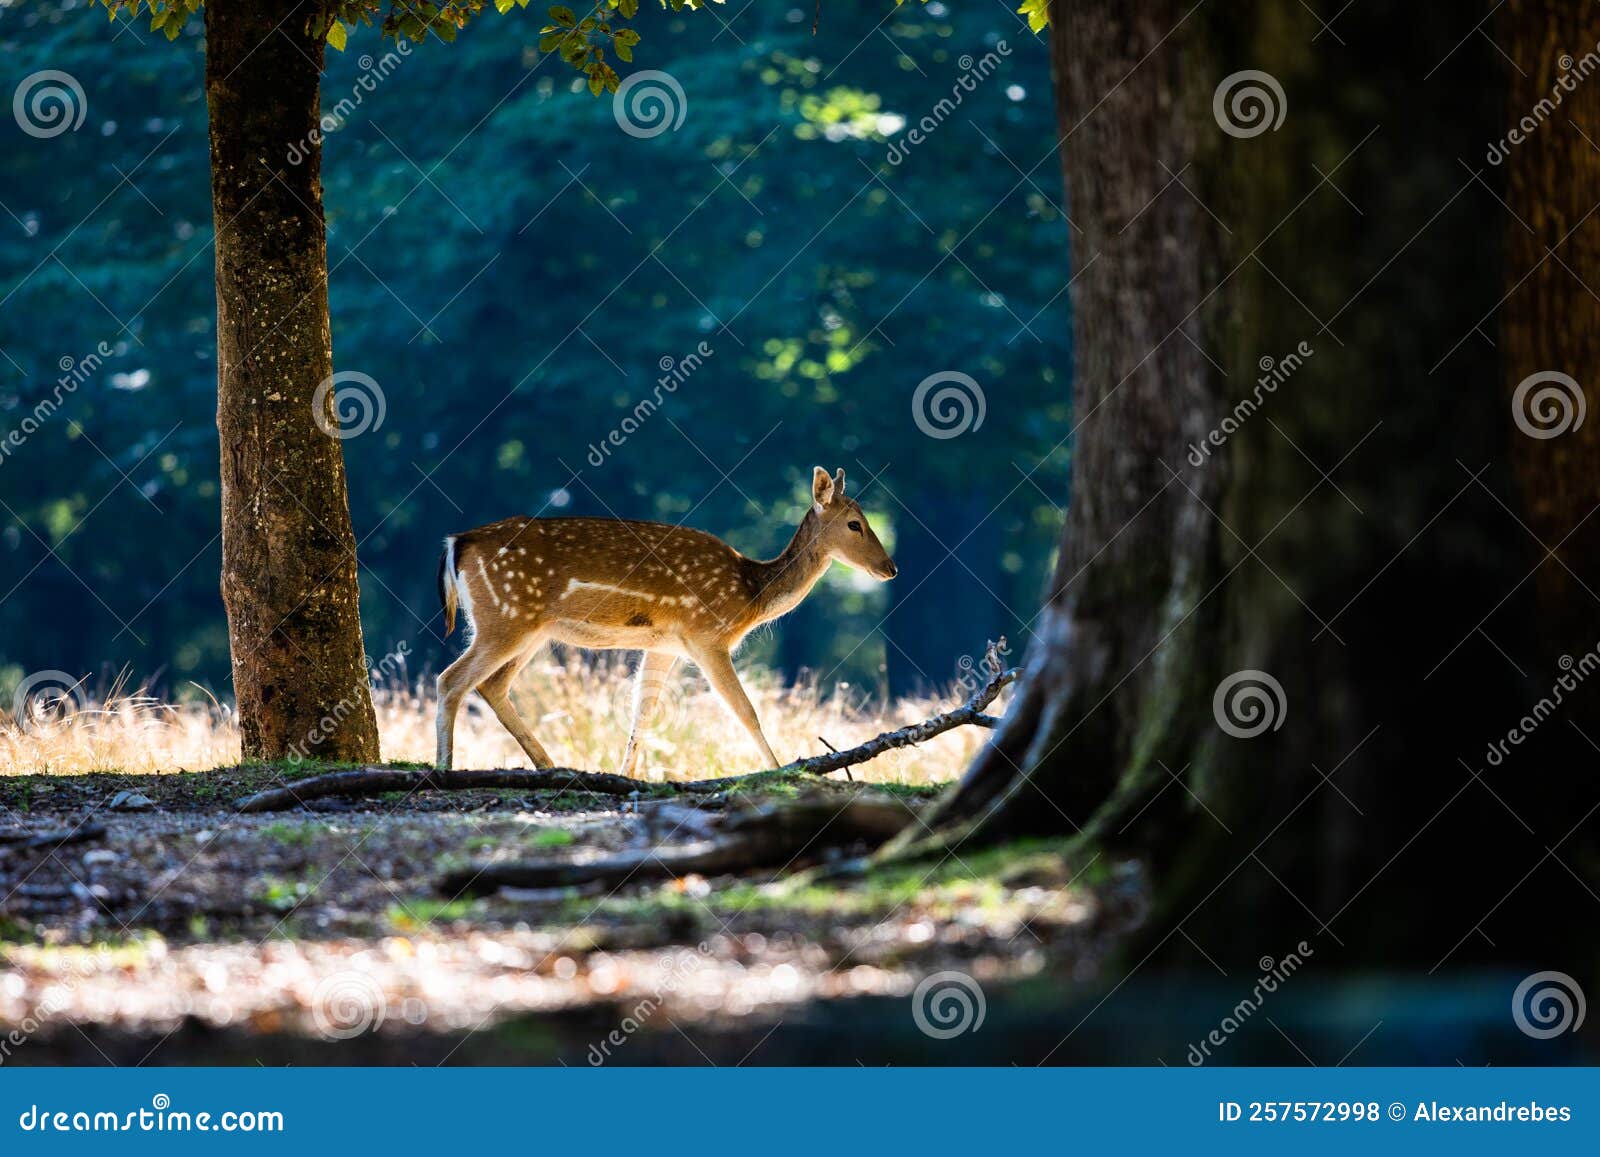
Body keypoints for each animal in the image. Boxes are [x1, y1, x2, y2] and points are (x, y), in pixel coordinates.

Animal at [434, 466, 897, 775]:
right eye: (855, 524)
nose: (890, 568)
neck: (750, 593)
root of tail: (456, 542)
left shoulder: (663, 644)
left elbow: (642, 714)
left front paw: (625, 776)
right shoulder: (707, 636)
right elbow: (746, 710)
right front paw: (782, 769)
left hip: (528, 628)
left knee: (491, 685)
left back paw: (550, 764)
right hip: (505, 618)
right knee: (450, 679)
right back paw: (445, 767)